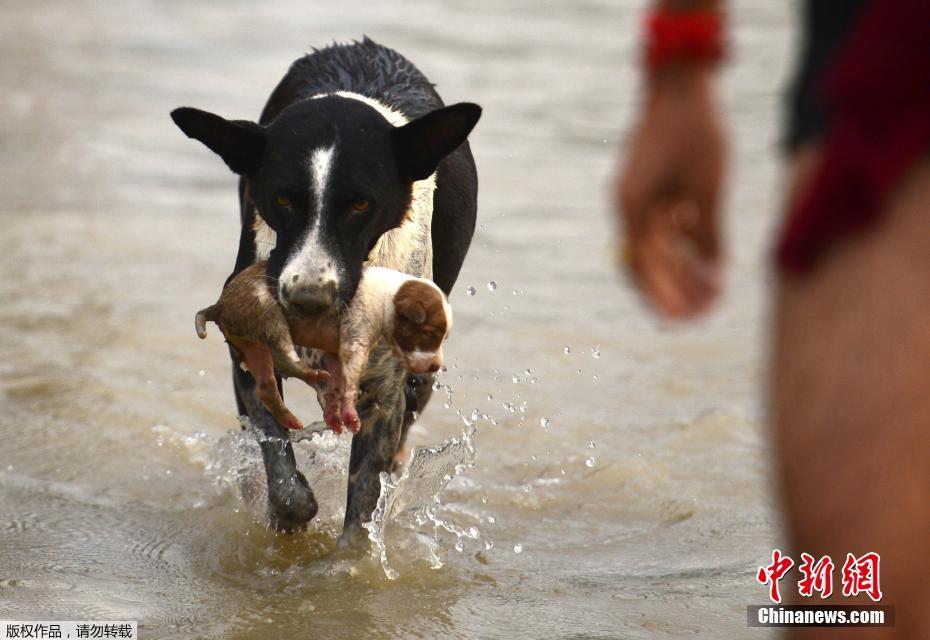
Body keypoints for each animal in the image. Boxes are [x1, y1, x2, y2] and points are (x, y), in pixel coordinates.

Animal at [198, 262, 452, 432]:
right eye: (431, 334)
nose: (435, 366)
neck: (388, 298)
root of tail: (219, 305)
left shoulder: (335, 353)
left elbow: (338, 382)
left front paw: (334, 413)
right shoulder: (355, 342)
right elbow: (349, 383)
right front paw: (349, 415)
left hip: (254, 347)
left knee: (266, 387)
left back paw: (291, 416)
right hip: (269, 314)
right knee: (286, 355)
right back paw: (310, 375)